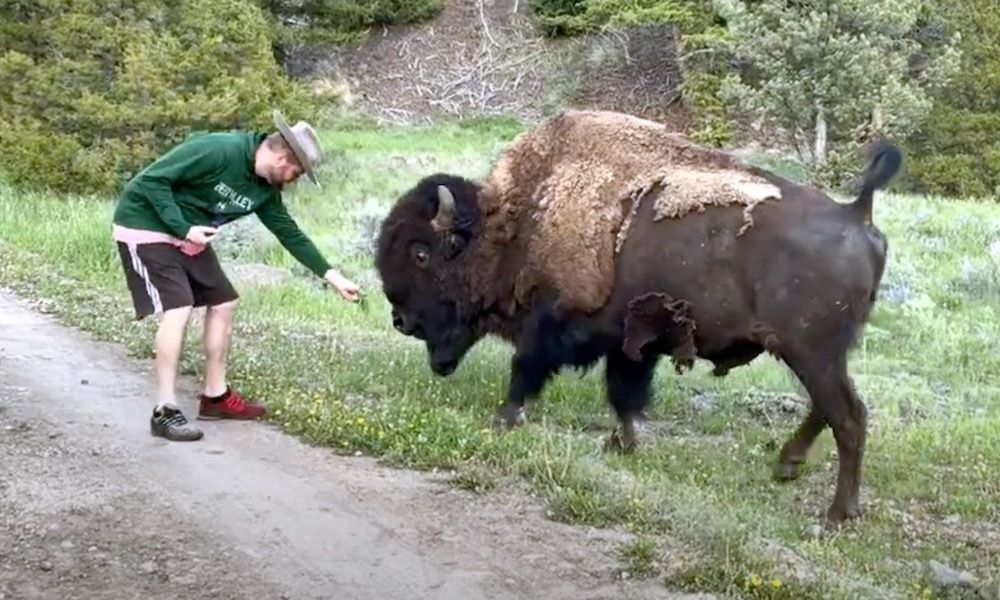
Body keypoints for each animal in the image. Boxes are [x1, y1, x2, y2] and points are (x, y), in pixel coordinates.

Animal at [375, 110, 903, 523]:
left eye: (421, 253)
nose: (401, 320)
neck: (516, 221)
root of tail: (856, 214)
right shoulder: (631, 341)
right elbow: (624, 393)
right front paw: (621, 444)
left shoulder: (554, 326)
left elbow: (526, 369)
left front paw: (505, 419)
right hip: (817, 351)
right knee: (828, 409)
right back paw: (787, 465)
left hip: (811, 351)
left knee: (849, 416)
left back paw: (838, 512)